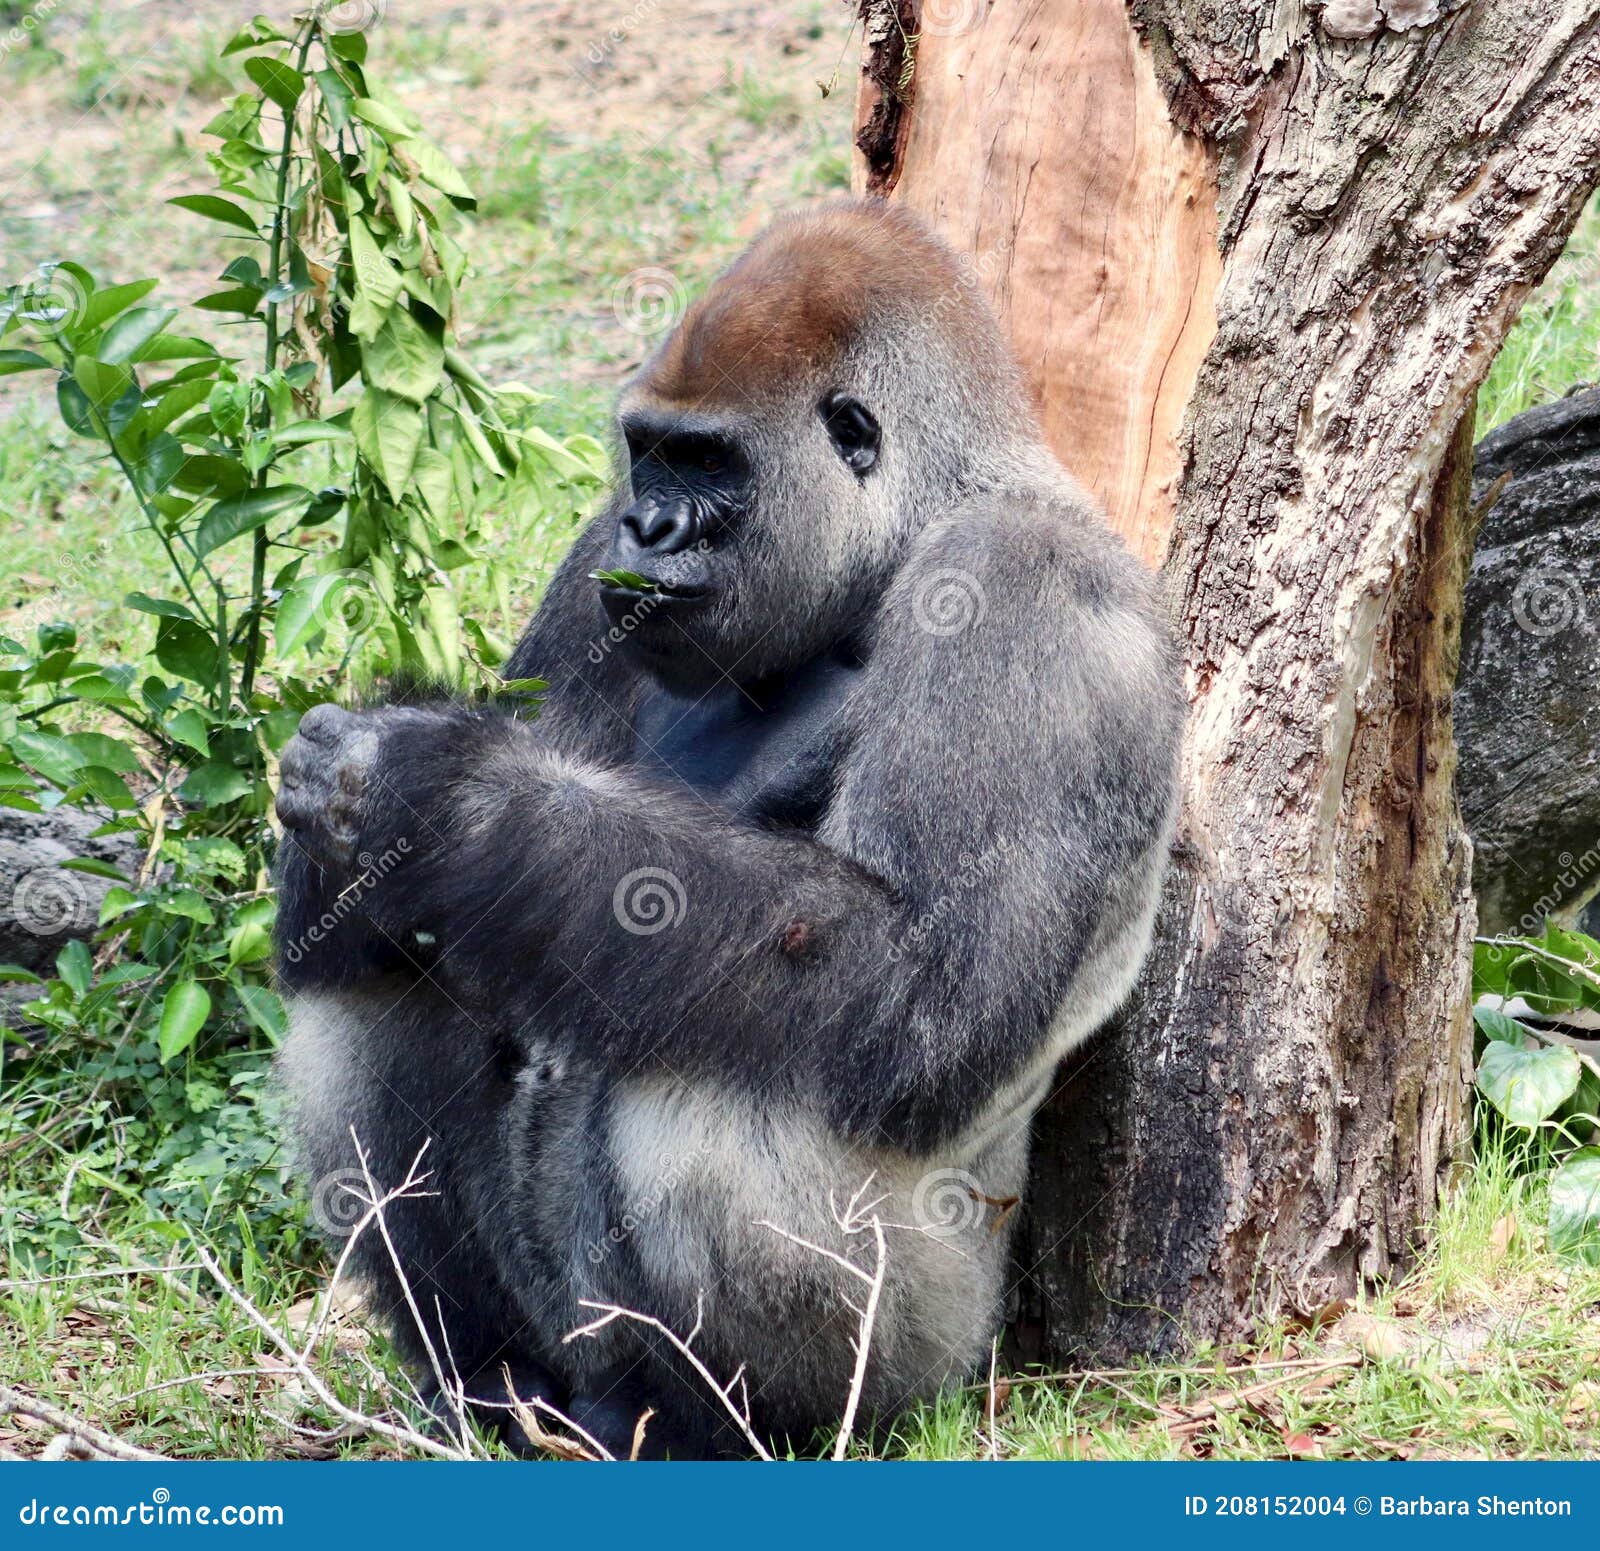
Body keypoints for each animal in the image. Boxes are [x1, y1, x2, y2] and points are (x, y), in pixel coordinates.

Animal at [273, 197, 1183, 1459]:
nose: (650, 526)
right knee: (379, 986)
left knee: (718, 1073)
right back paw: (492, 1391)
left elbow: (922, 990)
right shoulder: (589, 561)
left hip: (934, 1358)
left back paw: (725, 1429)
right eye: (649, 451)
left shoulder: (1024, 590)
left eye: (709, 464)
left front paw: (447, 804)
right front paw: (352, 832)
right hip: (559, 1352)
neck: (909, 530)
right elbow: (380, 931)